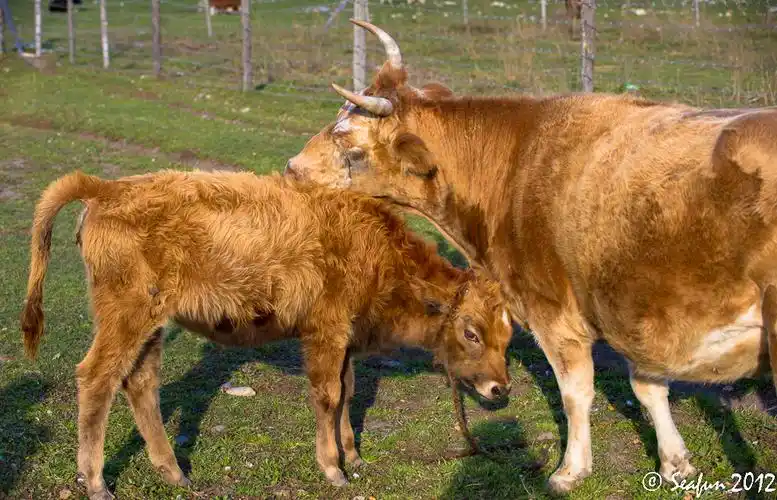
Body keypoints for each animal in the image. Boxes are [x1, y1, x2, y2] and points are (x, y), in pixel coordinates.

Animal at [20, 169, 514, 500]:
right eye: (471, 332)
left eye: (507, 336)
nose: (500, 388)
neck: (373, 245)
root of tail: (106, 188)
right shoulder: (326, 331)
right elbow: (328, 396)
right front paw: (333, 468)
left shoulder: (345, 341)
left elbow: (349, 390)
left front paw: (353, 455)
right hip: (126, 319)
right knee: (97, 378)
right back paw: (96, 482)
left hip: (151, 326)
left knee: (141, 383)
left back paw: (174, 472)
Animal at [285, 20, 777, 494]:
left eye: (351, 147)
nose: (291, 167)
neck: (513, 169)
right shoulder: (633, 316)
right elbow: (649, 387)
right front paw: (676, 465)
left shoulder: (553, 310)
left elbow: (576, 393)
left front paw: (570, 471)